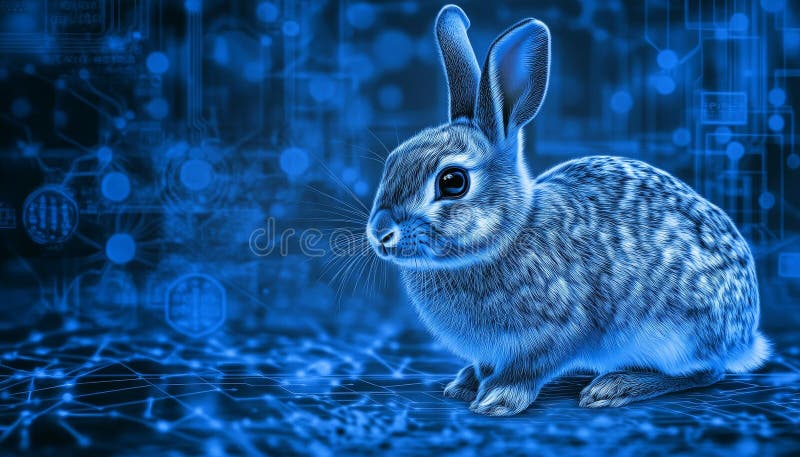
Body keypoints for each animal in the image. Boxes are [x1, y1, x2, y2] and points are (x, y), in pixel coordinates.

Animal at [365, 4, 770, 416]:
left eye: (452, 181)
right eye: (393, 161)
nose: (381, 233)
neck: (505, 237)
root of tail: (743, 336)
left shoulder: (559, 328)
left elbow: (531, 367)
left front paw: (498, 399)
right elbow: (484, 365)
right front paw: (465, 384)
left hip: (676, 334)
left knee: (707, 372)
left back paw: (615, 386)